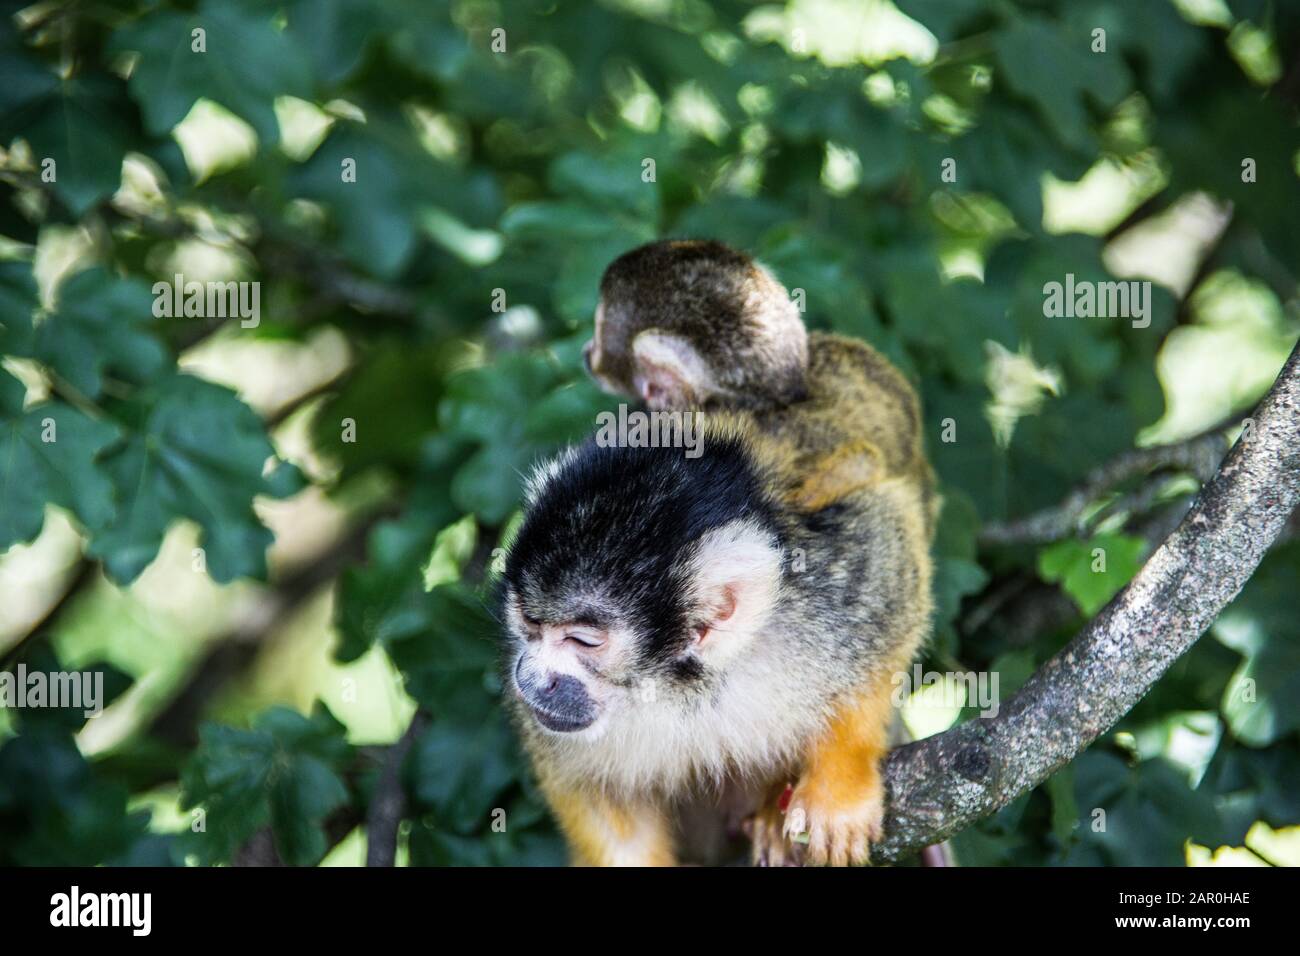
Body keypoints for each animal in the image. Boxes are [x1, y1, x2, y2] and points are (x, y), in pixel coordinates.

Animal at [500, 414, 933, 866]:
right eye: (529, 621)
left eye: (583, 641)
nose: (528, 679)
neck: (677, 685)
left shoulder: (815, 605)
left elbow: (886, 557)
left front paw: (839, 787)